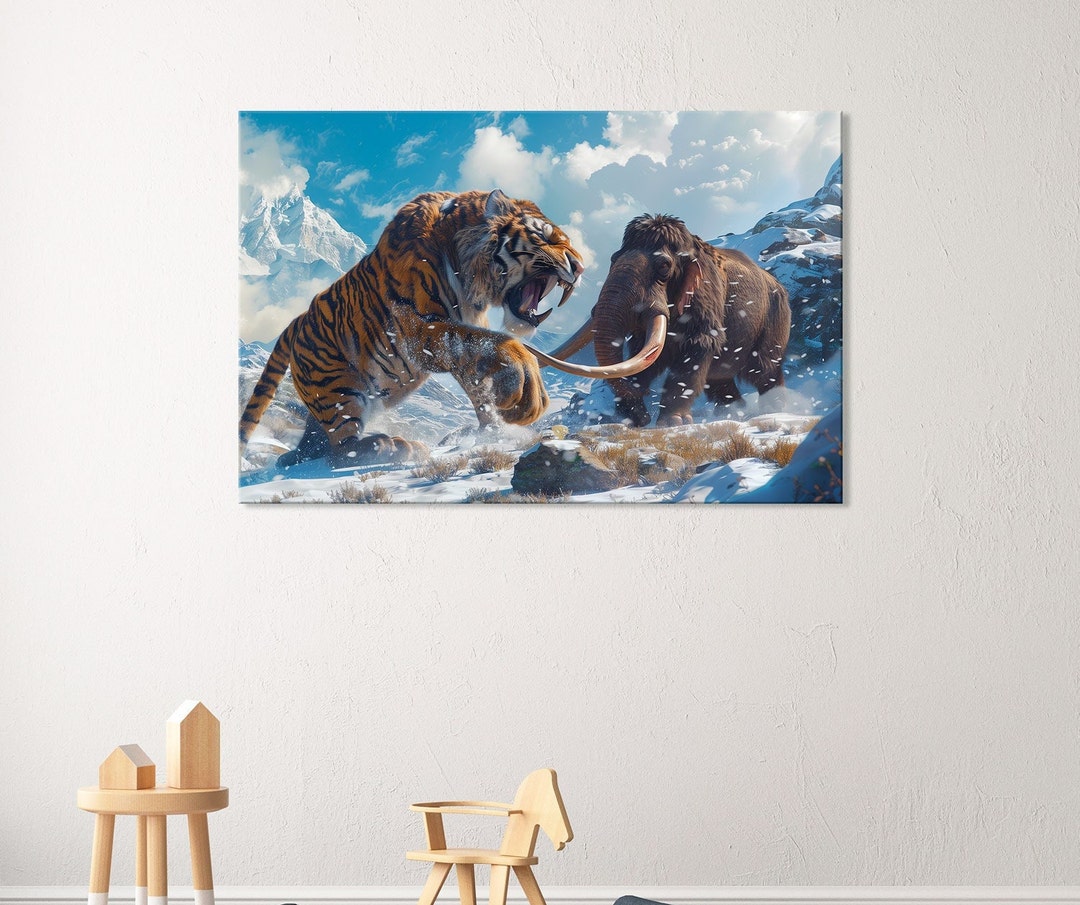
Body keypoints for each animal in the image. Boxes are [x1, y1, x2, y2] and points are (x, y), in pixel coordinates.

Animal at [239, 189, 584, 469]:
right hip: (338, 389)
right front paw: (526, 391)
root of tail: (297, 318)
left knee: (317, 444)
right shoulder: (420, 331)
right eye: (548, 238)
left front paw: (498, 430)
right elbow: (497, 343)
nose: (580, 267)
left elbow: (478, 380)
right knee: (340, 452)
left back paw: (293, 456)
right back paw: (390, 446)